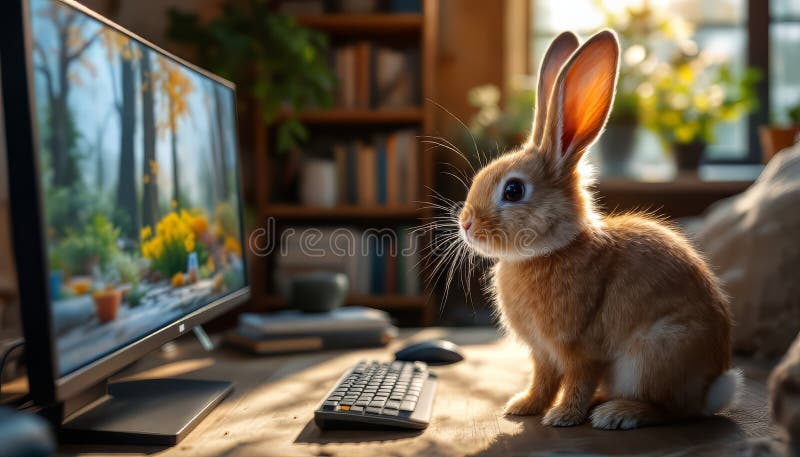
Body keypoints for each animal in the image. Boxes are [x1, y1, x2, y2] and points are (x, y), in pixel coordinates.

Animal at [457, 29, 738, 430]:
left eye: (513, 190)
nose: (465, 224)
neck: (552, 249)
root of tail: (712, 390)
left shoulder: (582, 349)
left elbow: (577, 380)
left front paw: (562, 417)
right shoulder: (542, 352)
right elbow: (542, 379)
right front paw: (522, 406)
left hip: (654, 354)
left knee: (670, 409)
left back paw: (615, 414)